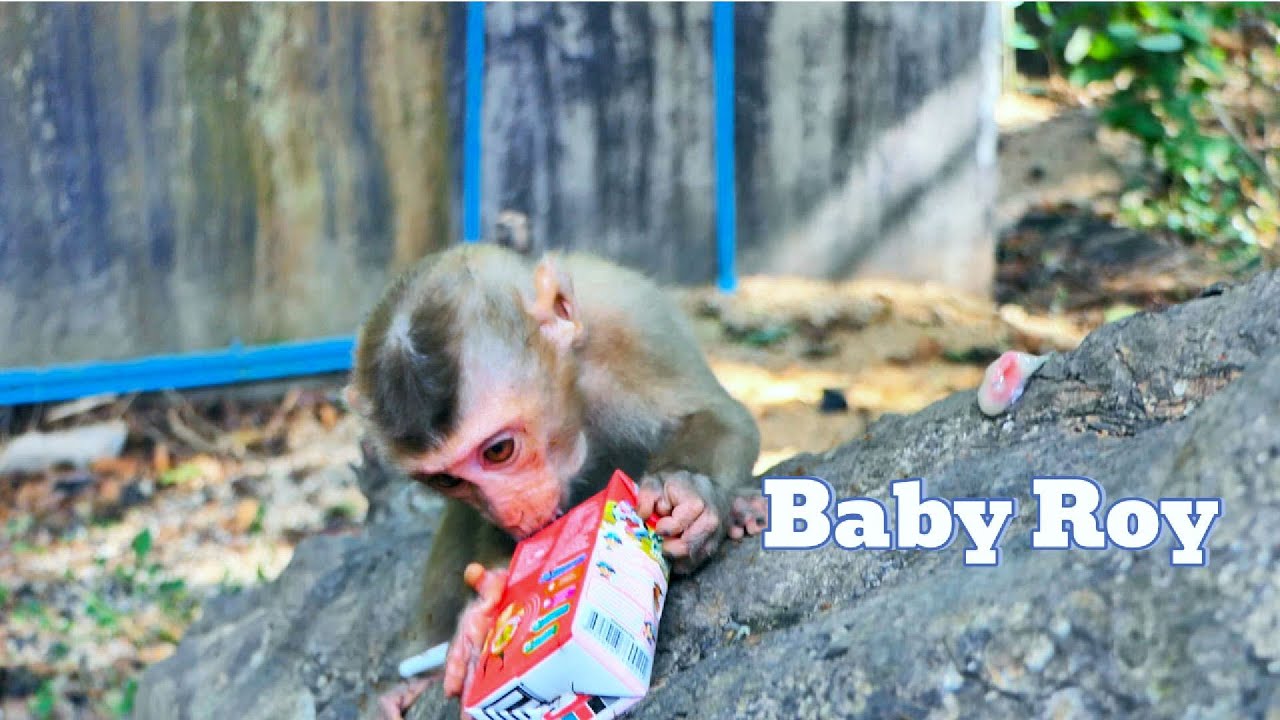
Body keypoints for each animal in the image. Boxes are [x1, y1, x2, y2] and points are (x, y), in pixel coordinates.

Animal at [348, 243, 768, 718]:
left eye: (498, 450)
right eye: (445, 479)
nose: (512, 511)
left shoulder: (632, 329)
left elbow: (723, 417)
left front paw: (689, 501)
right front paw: (485, 610)